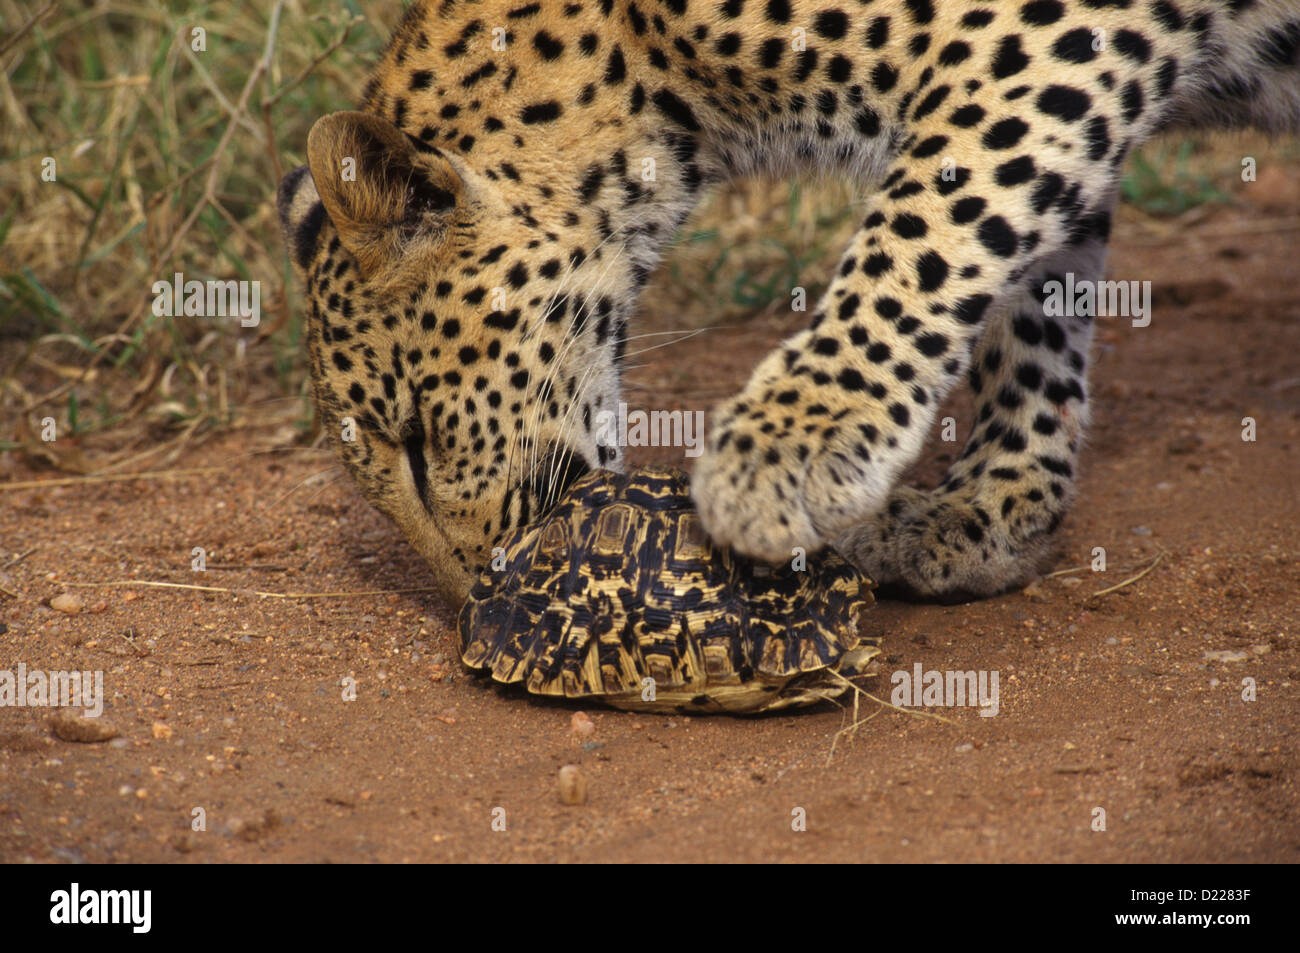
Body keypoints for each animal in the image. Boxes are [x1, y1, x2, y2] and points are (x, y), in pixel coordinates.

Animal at [276, 0, 1300, 608]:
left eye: (418, 441)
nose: (475, 600)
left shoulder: (1041, 39)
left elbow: (926, 235)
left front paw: (785, 455)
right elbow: (1035, 303)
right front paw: (994, 505)